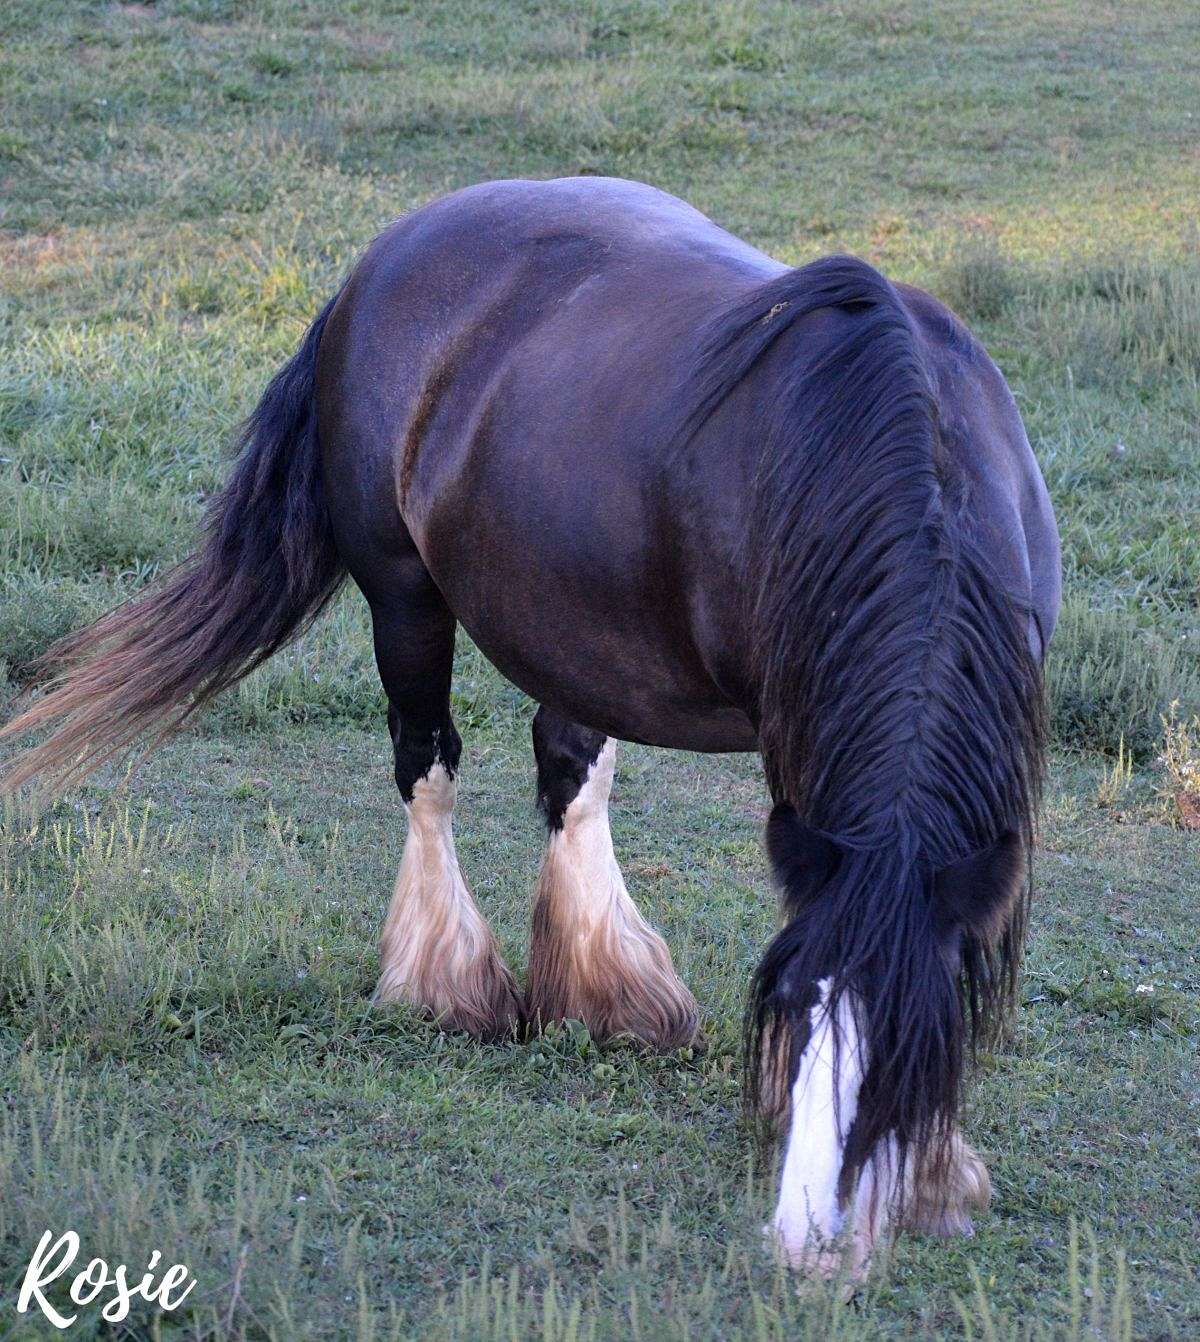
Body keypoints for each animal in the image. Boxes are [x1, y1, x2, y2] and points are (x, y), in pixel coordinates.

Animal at [0, 176, 1060, 1276]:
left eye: (917, 1049)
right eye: (789, 1008)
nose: (808, 1243)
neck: (900, 454)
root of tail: (386, 254)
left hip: (575, 629)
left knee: (568, 770)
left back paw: (607, 990)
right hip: (406, 602)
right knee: (426, 767)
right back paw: (445, 981)